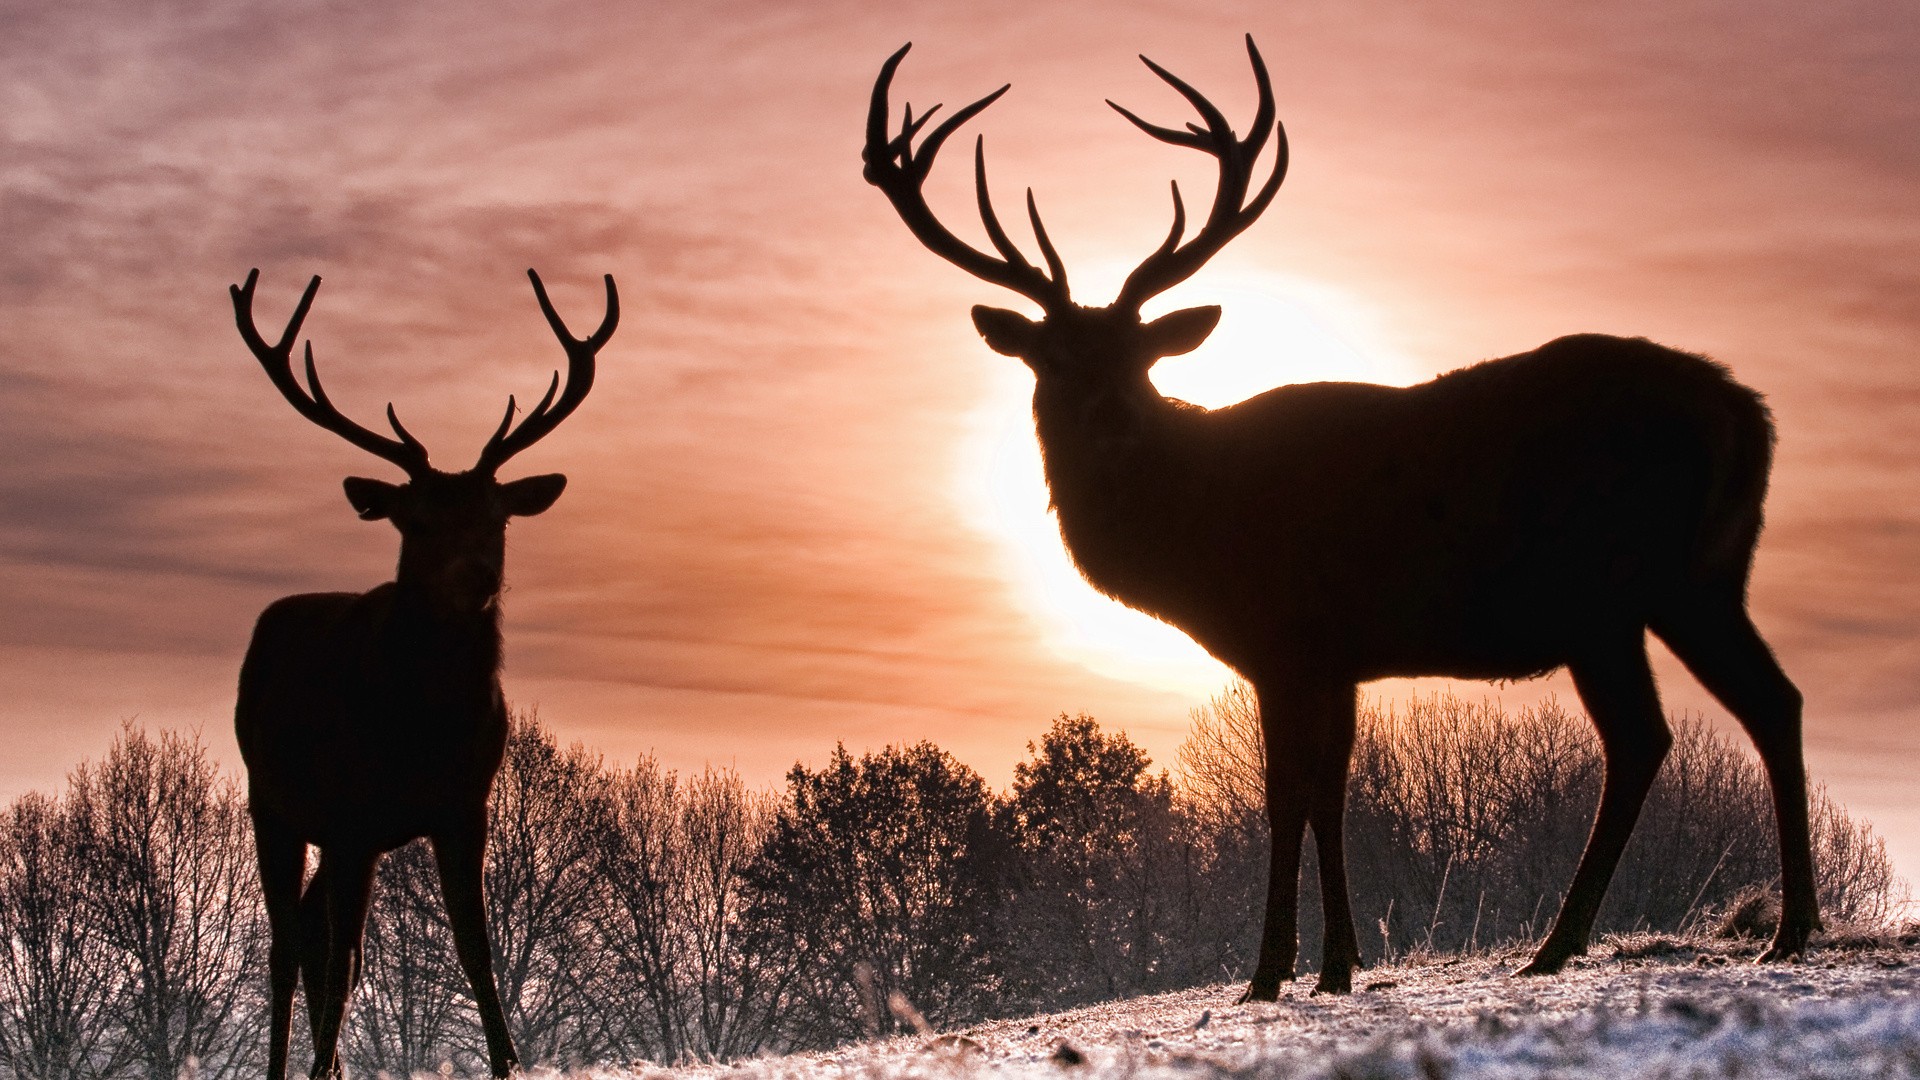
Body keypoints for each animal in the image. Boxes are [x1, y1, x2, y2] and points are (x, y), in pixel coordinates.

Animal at [231, 267, 617, 1077]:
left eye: (497, 516)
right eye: (418, 521)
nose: (477, 578)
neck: (422, 728)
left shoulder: (463, 805)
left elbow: (477, 948)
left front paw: (508, 1062)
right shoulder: (348, 812)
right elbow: (345, 957)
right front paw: (318, 1065)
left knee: (310, 932)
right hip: (271, 800)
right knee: (289, 945)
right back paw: (291, 1065)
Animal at [863, 37, 1818, 998]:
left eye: (1140, 355)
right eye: (1053, 358)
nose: (1113, 418)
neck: (1195, 531)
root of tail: (1748, 413)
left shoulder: (1284, 636)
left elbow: (1286, 793)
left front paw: (1270, 971)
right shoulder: (1341, 654)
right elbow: (1333, 790)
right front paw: (1340, 964)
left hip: (1606, 591)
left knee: (1645, 736)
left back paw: (1562, 944)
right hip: (1702, 578)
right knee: (1771, 700)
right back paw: (1789, 928)